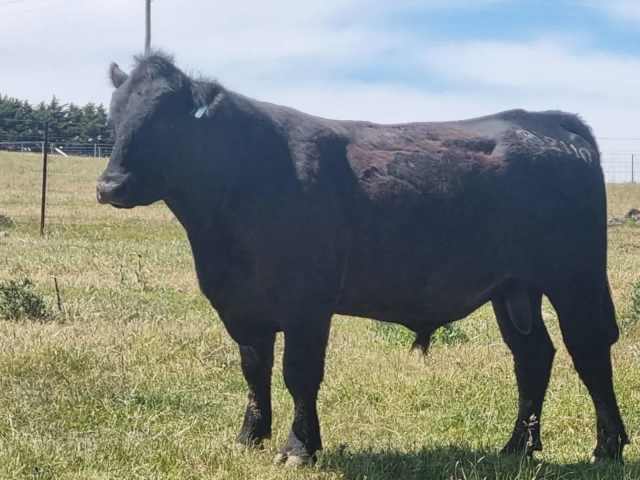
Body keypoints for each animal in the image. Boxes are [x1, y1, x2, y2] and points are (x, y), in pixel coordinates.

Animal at [97, 52, 628, 466]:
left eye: (167, 120)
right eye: (115, 118)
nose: (110, 186)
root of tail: (547, 120)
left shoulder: (307, 304)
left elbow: (299, 373)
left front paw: (299, 448)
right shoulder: (241, 305)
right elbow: (254, 369)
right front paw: (250, 437)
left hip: (574, 276)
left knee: (589, 348)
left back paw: (607, 446)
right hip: (514, 287)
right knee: (533, 356)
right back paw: (517, 446)